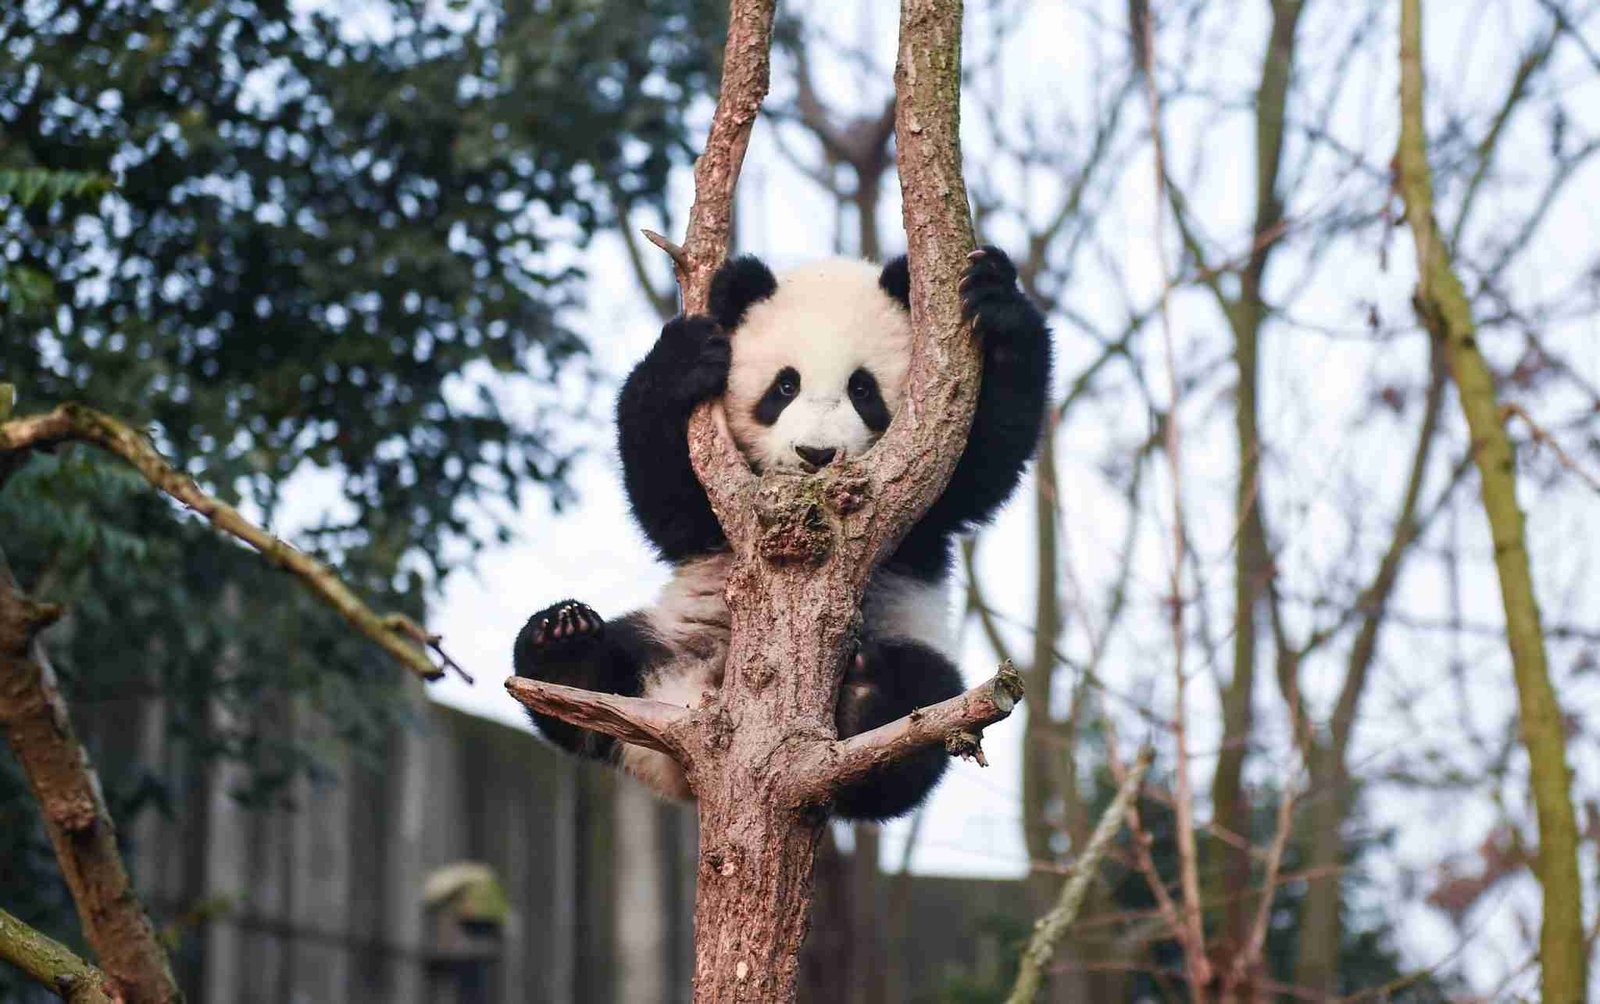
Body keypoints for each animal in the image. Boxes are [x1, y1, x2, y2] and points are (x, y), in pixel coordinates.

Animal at [514, 245, 1051, 820]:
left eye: (862, 389)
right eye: (784, 386)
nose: (815, 454)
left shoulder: (923, 504)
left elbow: (982, 466)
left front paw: (995, 299)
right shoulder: (718, 510)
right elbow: (667, 501)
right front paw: (683, 360)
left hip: (913, 649)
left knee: (921, 705)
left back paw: (867, 701)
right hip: (668, 639)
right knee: (585, 672)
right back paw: (566, 643)